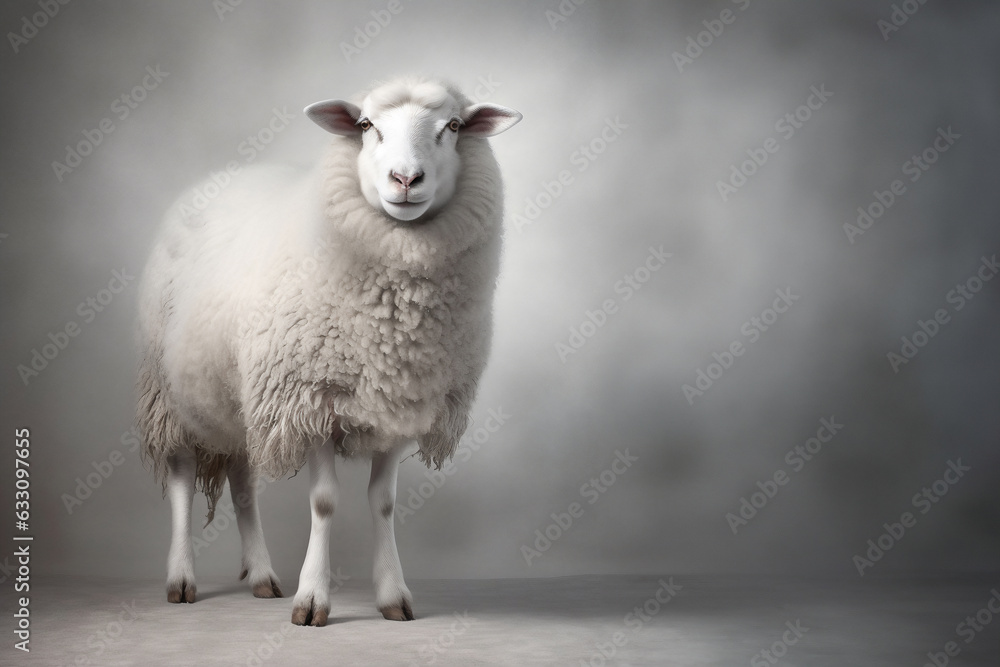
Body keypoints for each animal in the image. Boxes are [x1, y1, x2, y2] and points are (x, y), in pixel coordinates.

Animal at [136, 77, 521, 625]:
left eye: (453, 126)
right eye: (366, 125)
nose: (406, 178)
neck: (394, 326)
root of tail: (217, 179)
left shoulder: (401, 406)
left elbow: (383, 503)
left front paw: (393, 595)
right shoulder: (309, 399)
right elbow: (323, 503)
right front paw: (313, 599)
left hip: (240, 393)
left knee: (243, 482)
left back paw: (262, 575)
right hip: (169, 394)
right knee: (182, 479)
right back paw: (181, 578)